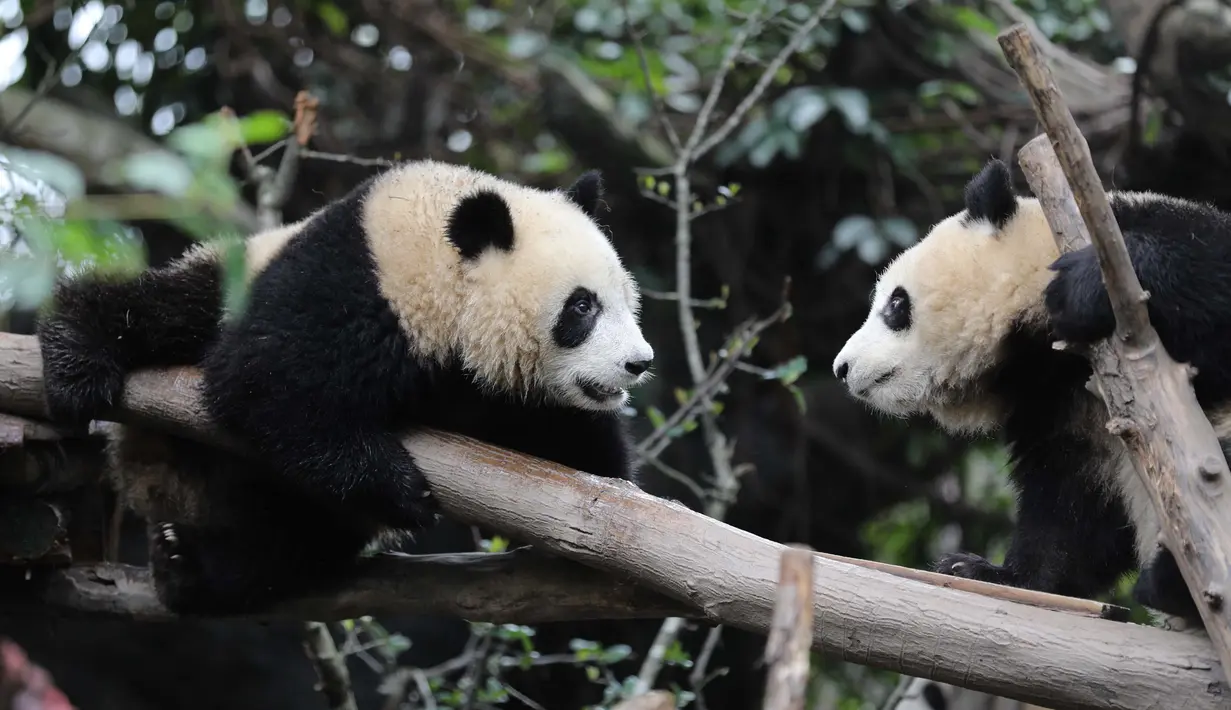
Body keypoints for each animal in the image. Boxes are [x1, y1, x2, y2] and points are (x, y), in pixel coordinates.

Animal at [36, 159, 656, 614]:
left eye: (628, 300)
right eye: (582, 307)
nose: (638, 363)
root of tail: (156, 480)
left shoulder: (509, 398)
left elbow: (585, 460)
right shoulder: (355, 283)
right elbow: (265, 381)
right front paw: (398, 486)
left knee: (289, 543)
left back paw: (187, 567)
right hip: (230, 282)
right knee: (162, 307)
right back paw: (77, 358)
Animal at [831, 158, 1231, 631]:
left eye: (895, 304)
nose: (842, 368)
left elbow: (1206, 271)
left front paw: (1085, 284)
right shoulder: (1058, 407)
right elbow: (1071, 509)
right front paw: (982, 571)